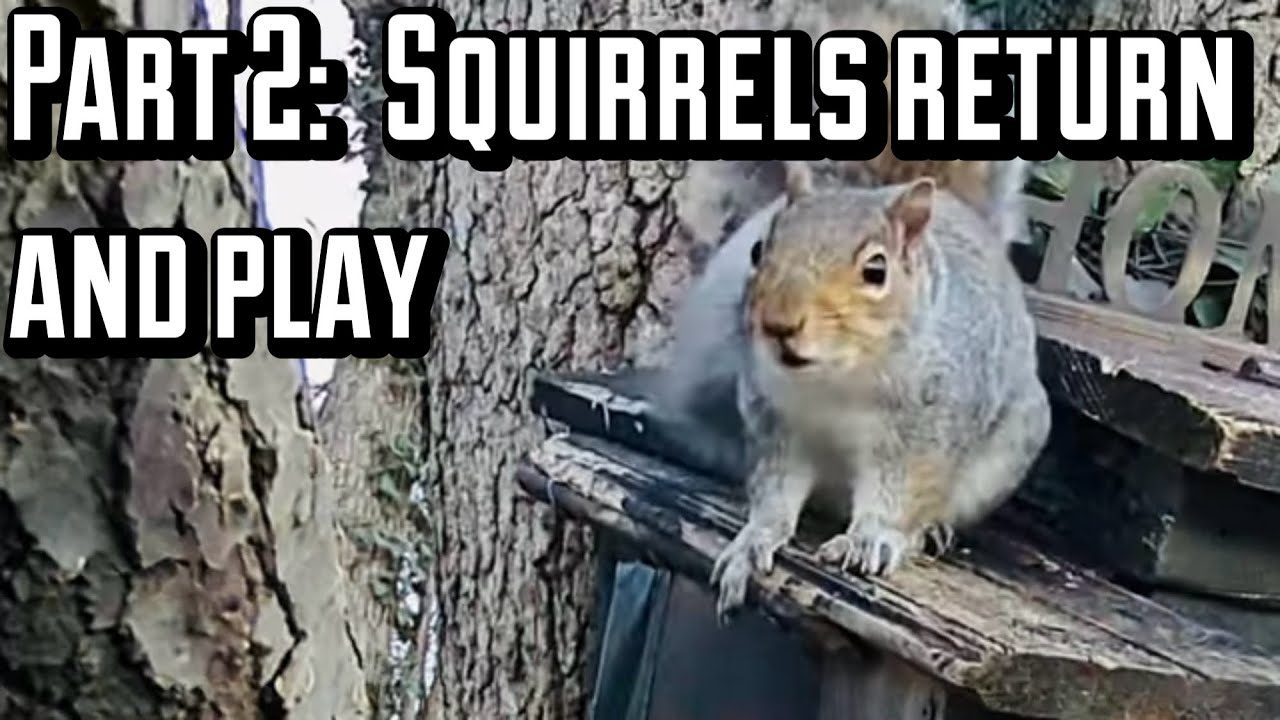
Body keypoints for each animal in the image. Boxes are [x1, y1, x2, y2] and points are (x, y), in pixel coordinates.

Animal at [655, 0, 1052, 623]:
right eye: (759, 250)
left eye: (876, 271)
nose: (779, 325)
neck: (838, 379)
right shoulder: (777, 423)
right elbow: (774, 492)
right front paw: (752, 542)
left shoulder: (926, 430)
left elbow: (901, 493)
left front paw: (874, 538)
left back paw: (926, 532)